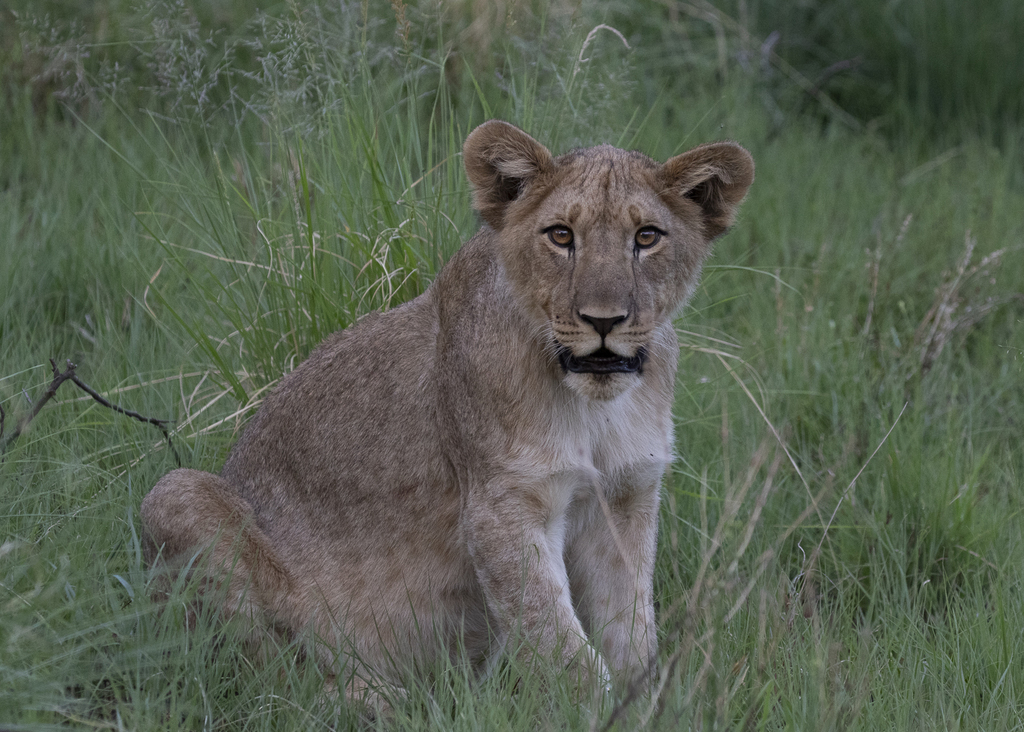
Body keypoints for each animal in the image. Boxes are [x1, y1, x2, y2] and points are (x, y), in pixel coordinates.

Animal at [140, 120, 754, 707]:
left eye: (646, 237)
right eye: (561, 235)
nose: (603, 320)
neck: (595, 408)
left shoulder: (626, 496)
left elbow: (630, 627)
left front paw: (649, 702)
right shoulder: (501, 506)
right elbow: (555, 638)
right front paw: (597, 710)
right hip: (174, 497)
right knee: (266, 678)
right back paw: (379, 700)